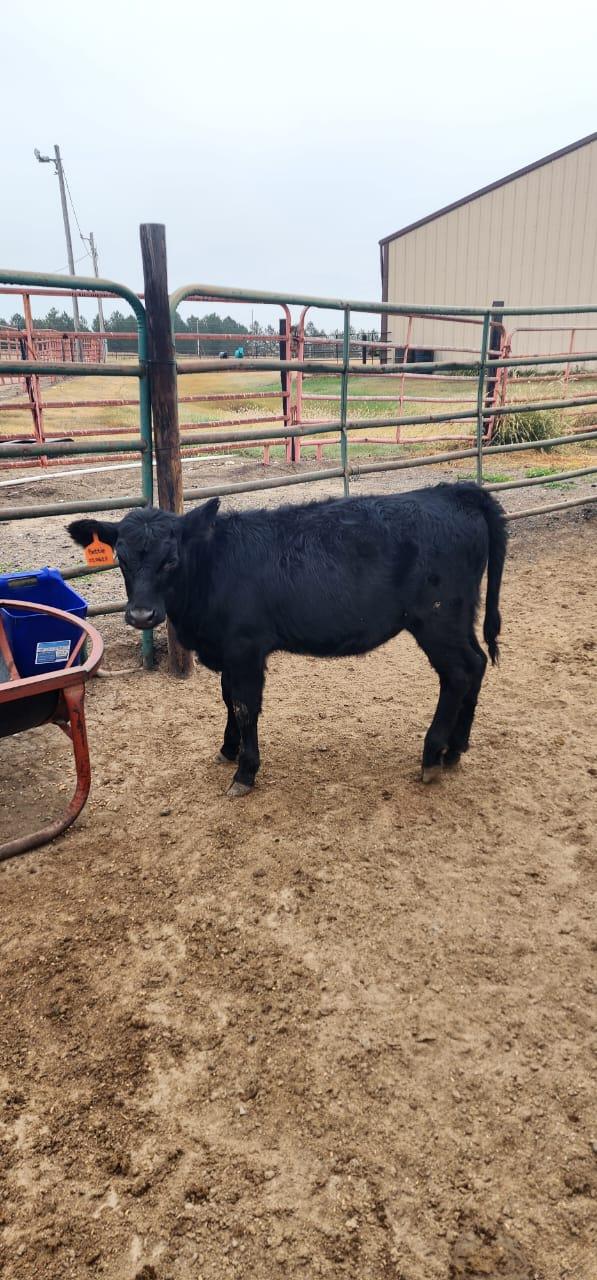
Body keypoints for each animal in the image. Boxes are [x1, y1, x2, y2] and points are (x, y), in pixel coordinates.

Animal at [68, 483, 507, 797]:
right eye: (121, 559)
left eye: (170, 559)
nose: (141, 615)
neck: (213, 566)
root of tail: (453, 490)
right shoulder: (228, 650)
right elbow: (227, 697)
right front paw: (227, 749)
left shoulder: (245, 647)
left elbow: (245, 705)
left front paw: (245, 772)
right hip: (458, 617)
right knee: (477, 663)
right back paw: (456, 749)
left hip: (437, 618)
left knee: (459, 672)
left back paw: (433, 754)